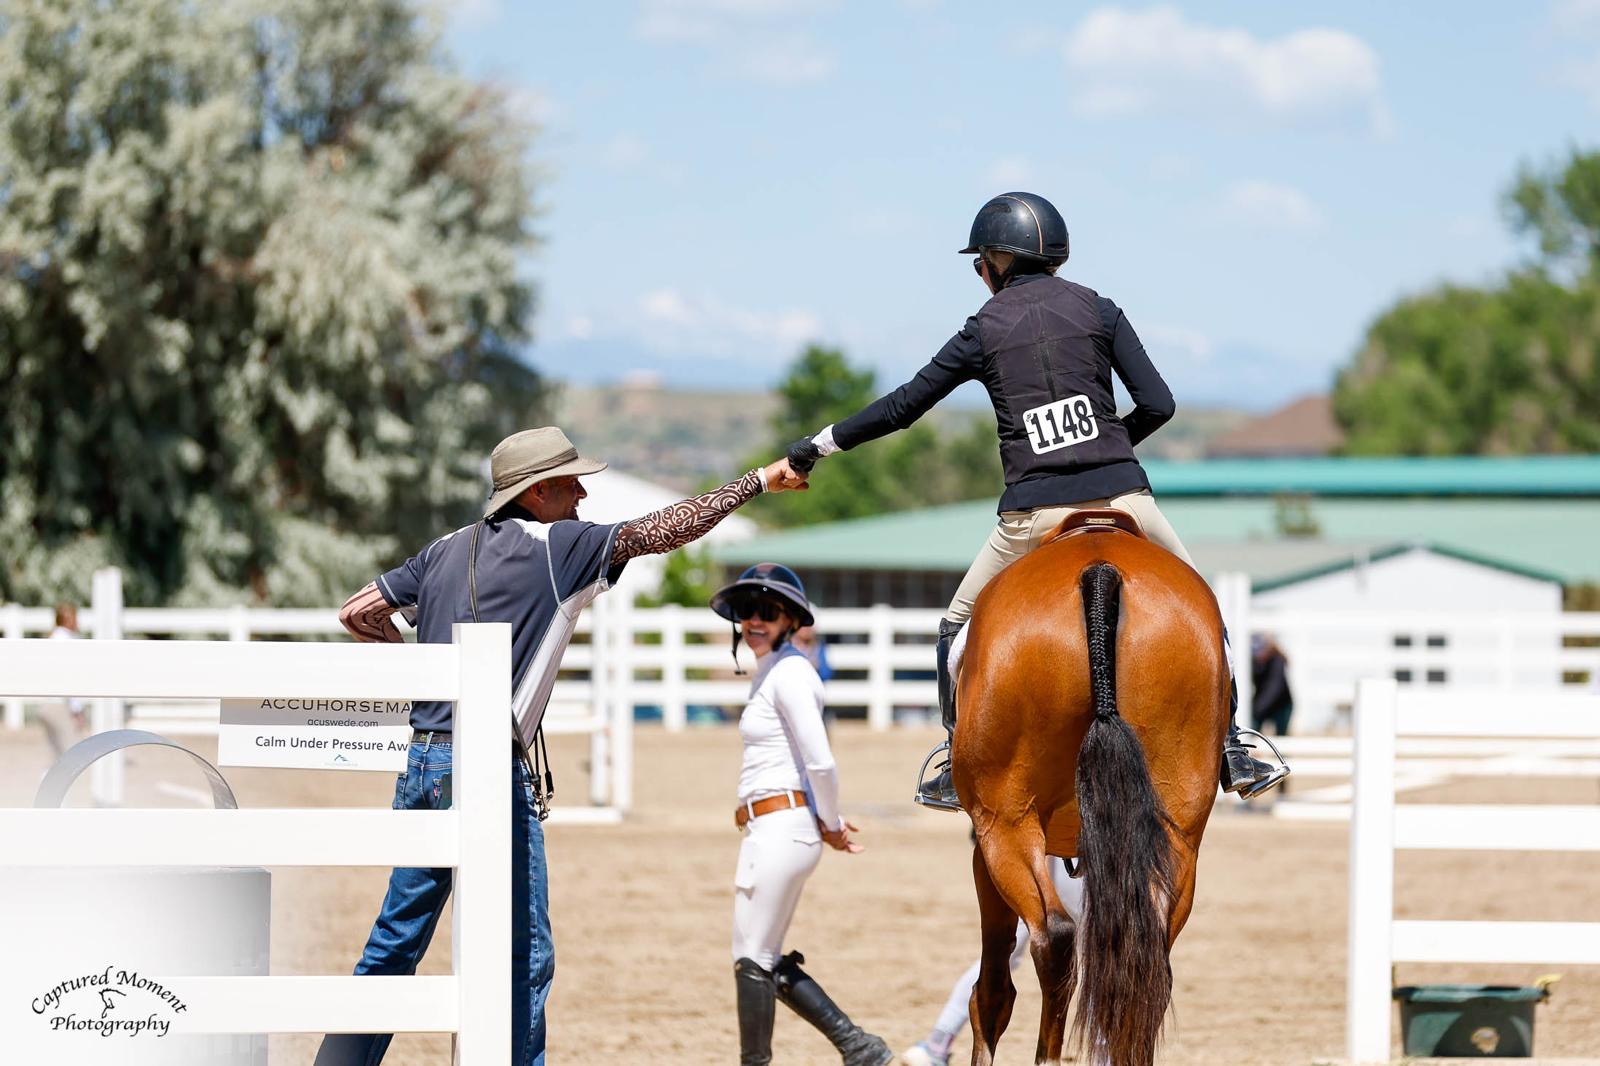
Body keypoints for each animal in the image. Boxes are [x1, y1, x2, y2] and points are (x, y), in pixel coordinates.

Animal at [952, 510, 1229, 1066]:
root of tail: (1100, 570)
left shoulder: (984, 843)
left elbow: (991, 989)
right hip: (1178, 831)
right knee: (1145, 959)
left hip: (1005, 824)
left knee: (1054, 939)